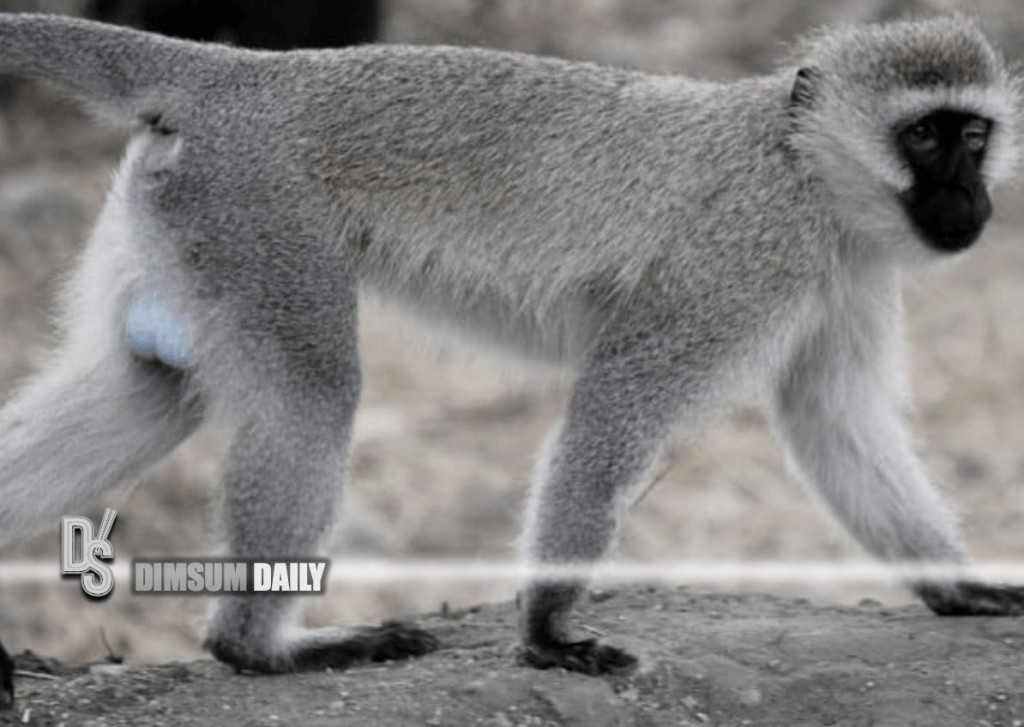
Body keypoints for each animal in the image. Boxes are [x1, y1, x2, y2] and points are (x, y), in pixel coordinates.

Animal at [0, 12, 1020, 681]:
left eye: (973, 135)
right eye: (925, 137)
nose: (971, 199)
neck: (804, 167)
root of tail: (244, 74)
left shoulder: (847, 275)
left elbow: (833, 417)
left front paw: (961, 587)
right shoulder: (743, 260)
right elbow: (621, 395)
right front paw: (549, 628)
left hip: (185, 213)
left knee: (147, 387)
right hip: (253, 216)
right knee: (310, 394)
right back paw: (258, 648)